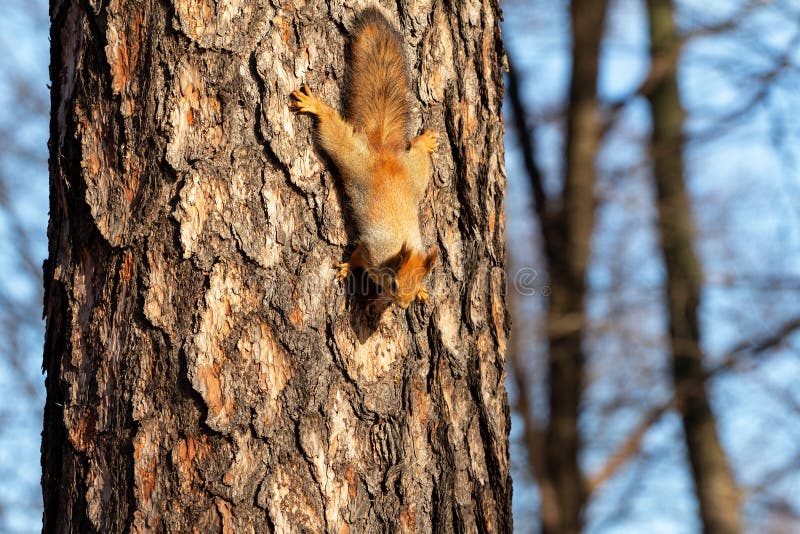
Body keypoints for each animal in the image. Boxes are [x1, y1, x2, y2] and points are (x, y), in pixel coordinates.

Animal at [290, 9, 438, 309]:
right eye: (394, 283)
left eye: (420, 279)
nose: (402, 305)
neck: (397, 249)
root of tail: (383, 153)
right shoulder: (372, 250)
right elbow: (358, 254)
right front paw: (348, 267)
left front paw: (421, 292)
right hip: (350, 156)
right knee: (334, 131)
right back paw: (317, 107)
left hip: (416, 174)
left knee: (419, 156)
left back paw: (424, 142)